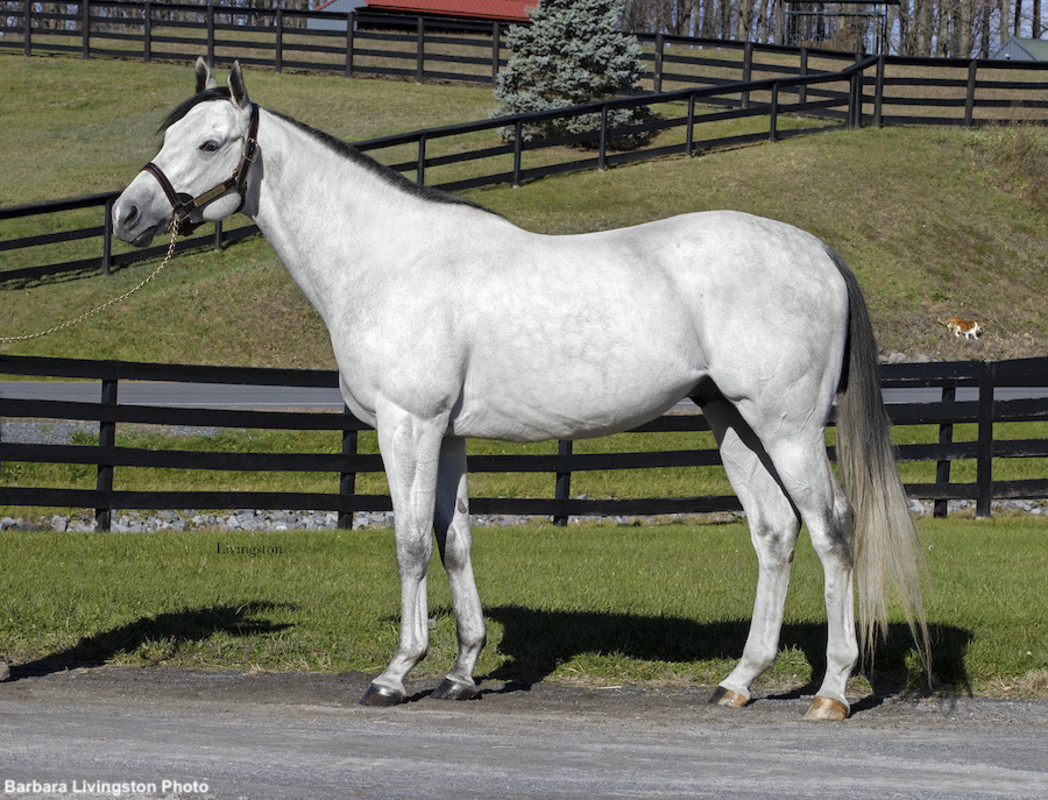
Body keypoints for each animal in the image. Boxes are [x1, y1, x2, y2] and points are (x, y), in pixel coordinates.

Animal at [109, 60, 928, 720]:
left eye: (210, 143)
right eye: (170, 132)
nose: (126, 213)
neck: (389, 260)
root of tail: (817, 251)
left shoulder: (407, 426)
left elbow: (410, 543)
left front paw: (396, 674)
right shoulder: (449, 435)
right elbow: (456, 541)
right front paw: (462, 673)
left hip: (789, 428)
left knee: (833, 530)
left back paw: (831, 692)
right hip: (732, 421)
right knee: (774, 533)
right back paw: (738, 682)